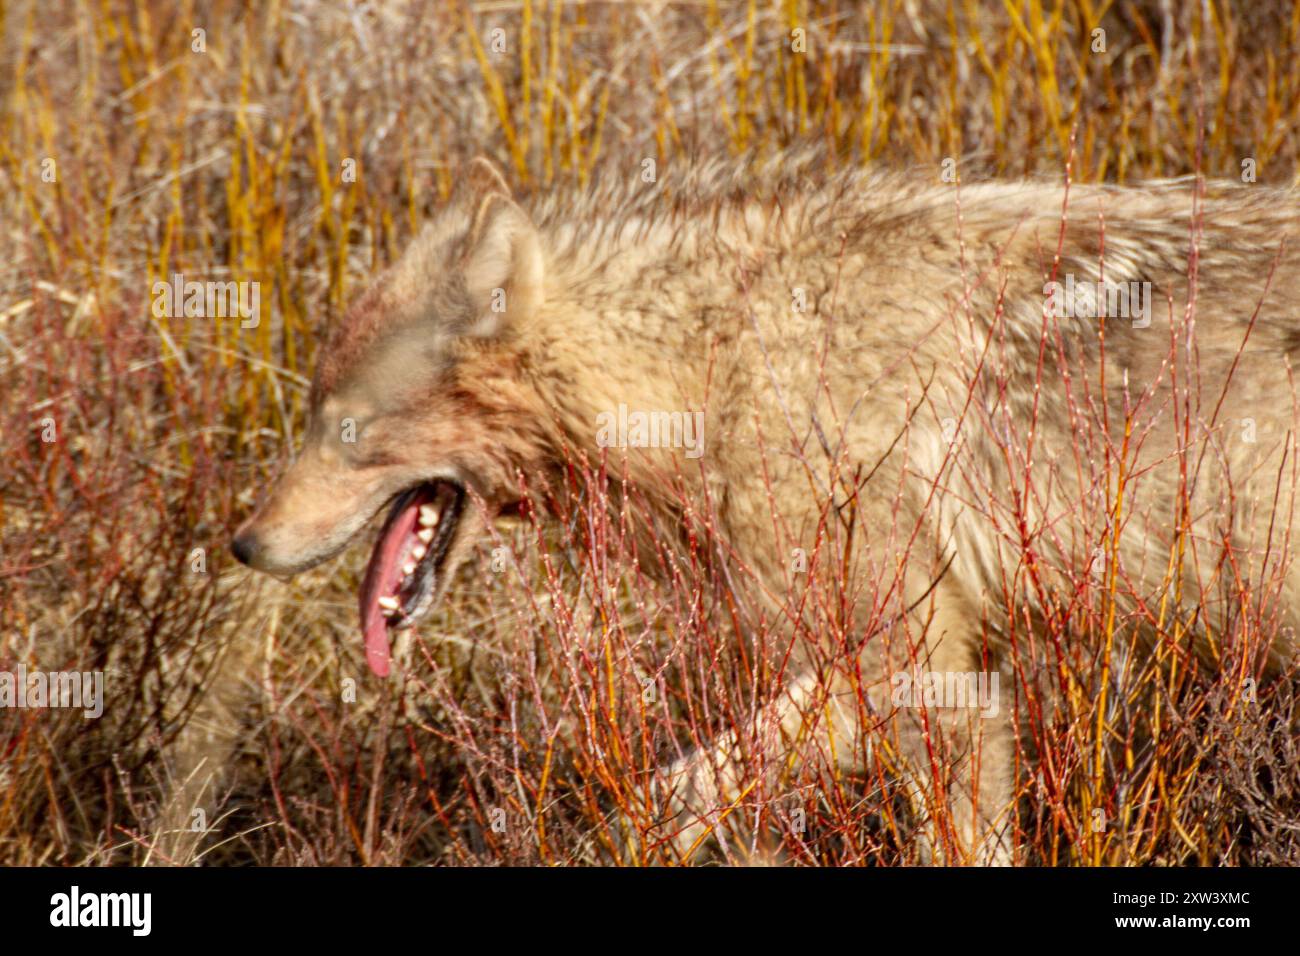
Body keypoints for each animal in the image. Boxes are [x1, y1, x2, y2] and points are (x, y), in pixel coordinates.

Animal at [232, 151, 1300, 863]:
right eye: (312, 416)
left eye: (343, 428)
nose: (243, 545)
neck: (716, 362)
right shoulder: (950, 666)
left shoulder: (914, 670)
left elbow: (653, 805)